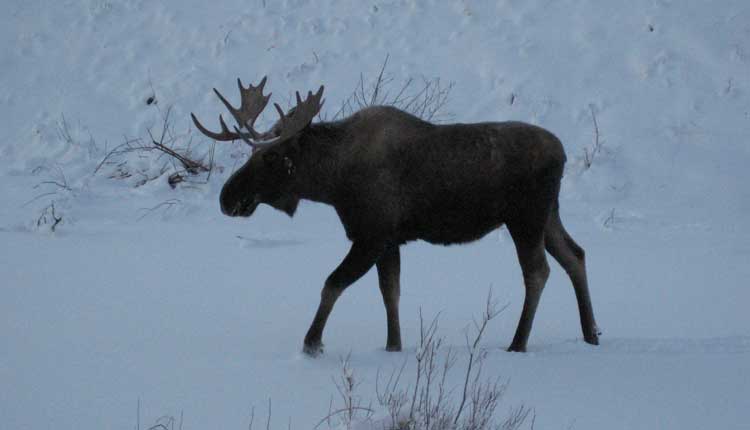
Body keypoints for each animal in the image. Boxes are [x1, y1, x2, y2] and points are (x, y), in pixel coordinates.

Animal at [191, 77, 600, 355]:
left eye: (272, 156)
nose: (227, 198)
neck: (333, 182)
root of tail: (563, 153)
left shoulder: (371, 234)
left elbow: (332, 284)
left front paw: (312, 343)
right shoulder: (390, 239)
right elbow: (391, 293)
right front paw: (392, 346)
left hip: (525, 217)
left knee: (538, 271)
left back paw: (518, 344)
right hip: (549, 215)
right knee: (575, 256)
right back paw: (591, 333)